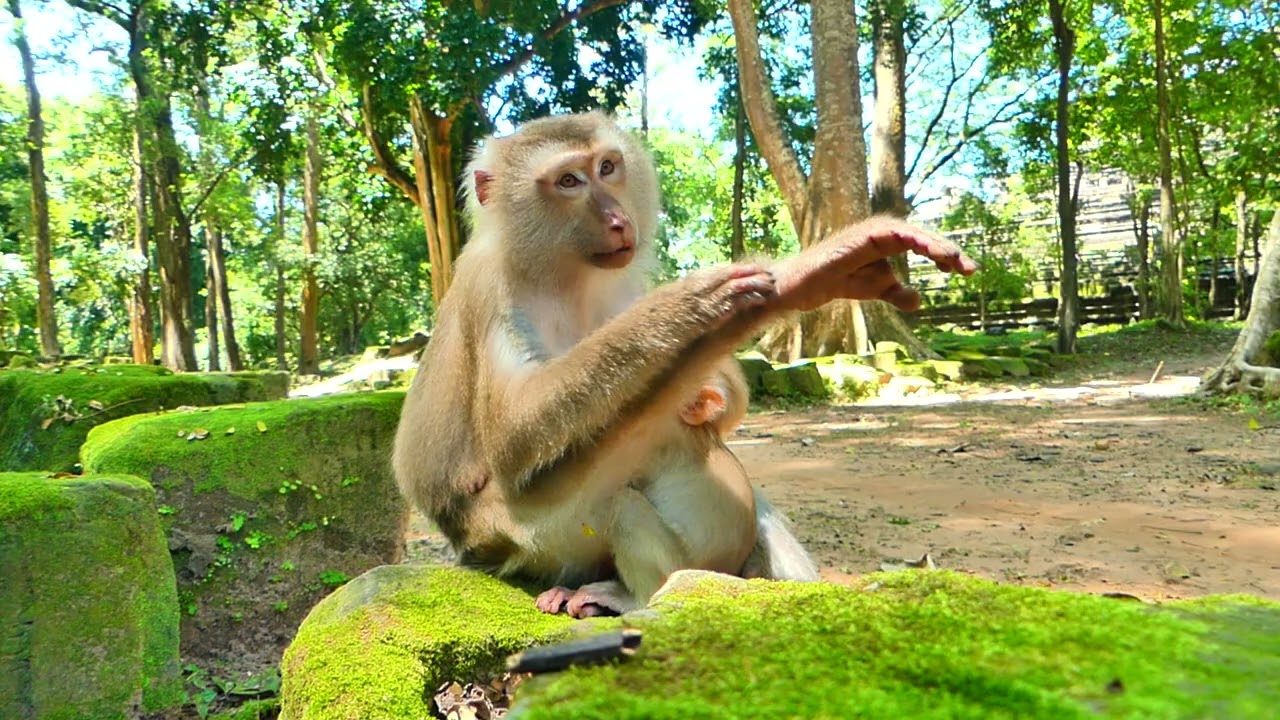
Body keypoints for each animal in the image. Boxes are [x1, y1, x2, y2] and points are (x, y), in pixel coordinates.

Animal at [392, 111, 976, 617]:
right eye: (568, 181)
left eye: (608, 167)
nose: (617, 220)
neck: (564, 272)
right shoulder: (491, 285)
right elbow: (514, 436)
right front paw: (689, 303)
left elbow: (727, 402)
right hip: (524, 538)